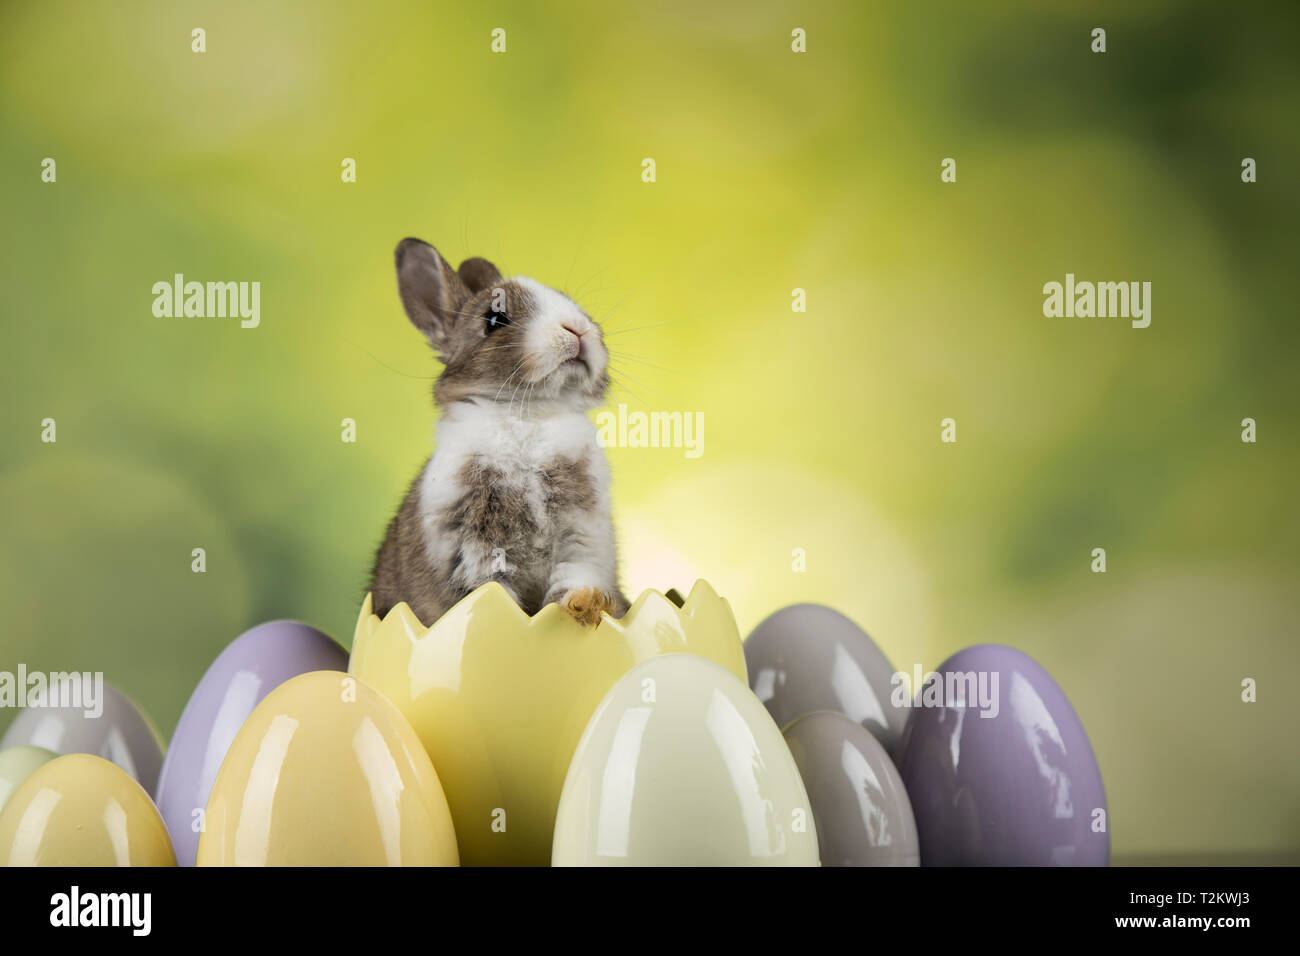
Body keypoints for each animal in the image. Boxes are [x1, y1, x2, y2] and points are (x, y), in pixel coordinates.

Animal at [369, 237, 630, 628]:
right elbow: (492, 596)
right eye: (495, 319)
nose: (576, 328)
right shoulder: (471, 547)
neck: (528, 415)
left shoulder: (583, 535)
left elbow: (575, 576)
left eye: (571, 303)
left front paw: (584, 606)